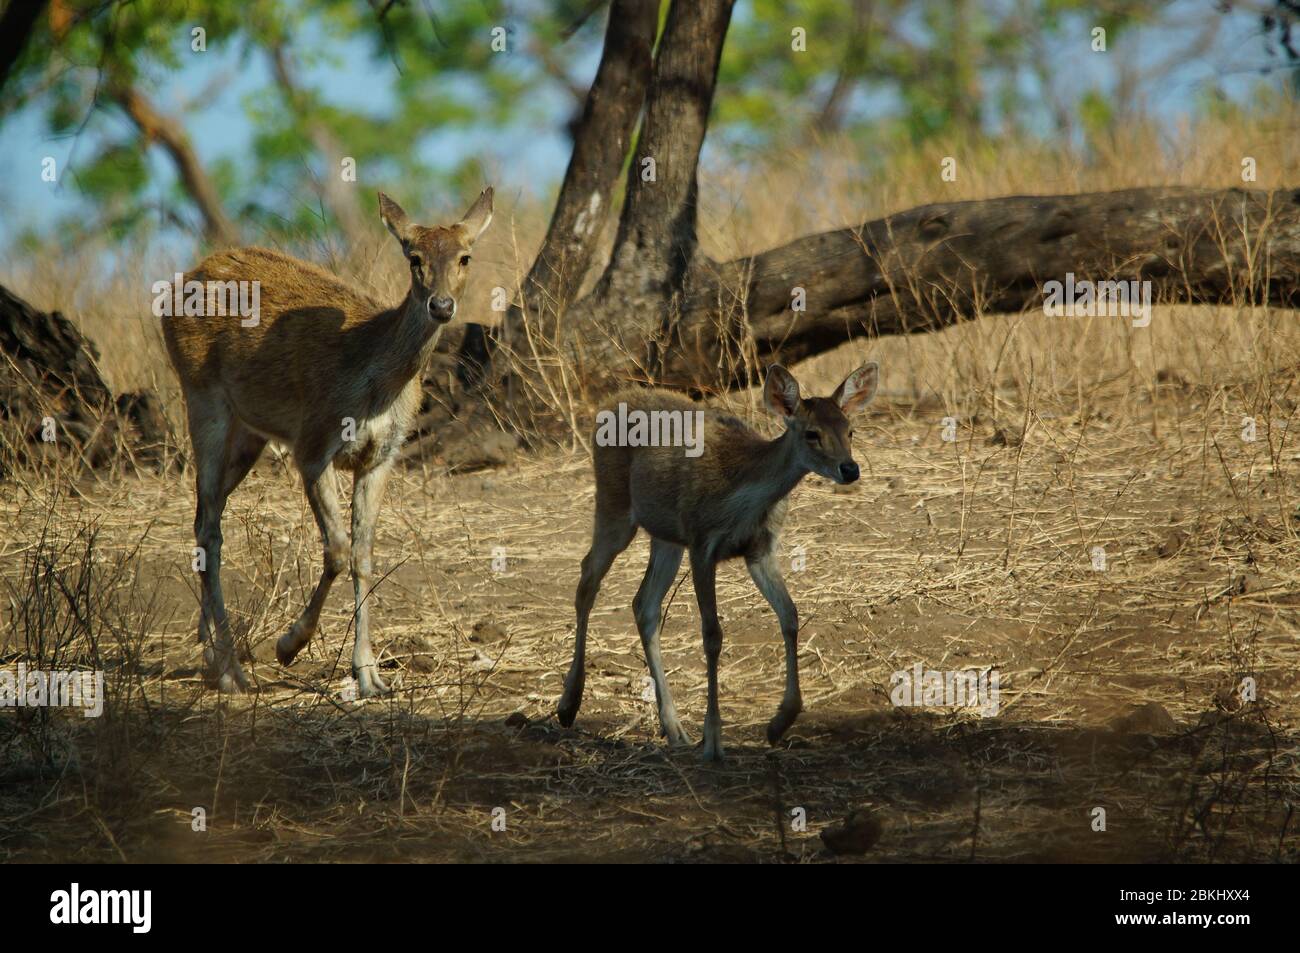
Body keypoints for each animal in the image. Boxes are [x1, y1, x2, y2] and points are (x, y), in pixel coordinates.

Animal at [161, 188, 494, 697]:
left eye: (465, 256)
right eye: (413, 257)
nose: (442, 306)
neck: (378, 382)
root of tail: (171, 294)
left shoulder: (382, 457)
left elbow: (363, 554)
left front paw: (369, 674)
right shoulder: (313, 445)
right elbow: (336, 549)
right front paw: (289, 645)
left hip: (249, 432)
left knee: (203, 516)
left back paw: (209, 651)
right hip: (201, 395)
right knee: (209, 527)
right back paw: (230, 669)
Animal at [557, 361, 879, 761]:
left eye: (851, 430)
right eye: (812, 434)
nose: (850, 469)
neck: (741, 493)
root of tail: (608, 403)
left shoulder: (760, 549)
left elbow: (790, 615)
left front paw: (779, 723)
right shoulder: (702, 542)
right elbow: (712, 634)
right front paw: (713, 740)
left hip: (666, 536)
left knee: (643, 603)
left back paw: (675, 729)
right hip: (614, 504)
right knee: (587, 578)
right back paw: (568, 705)